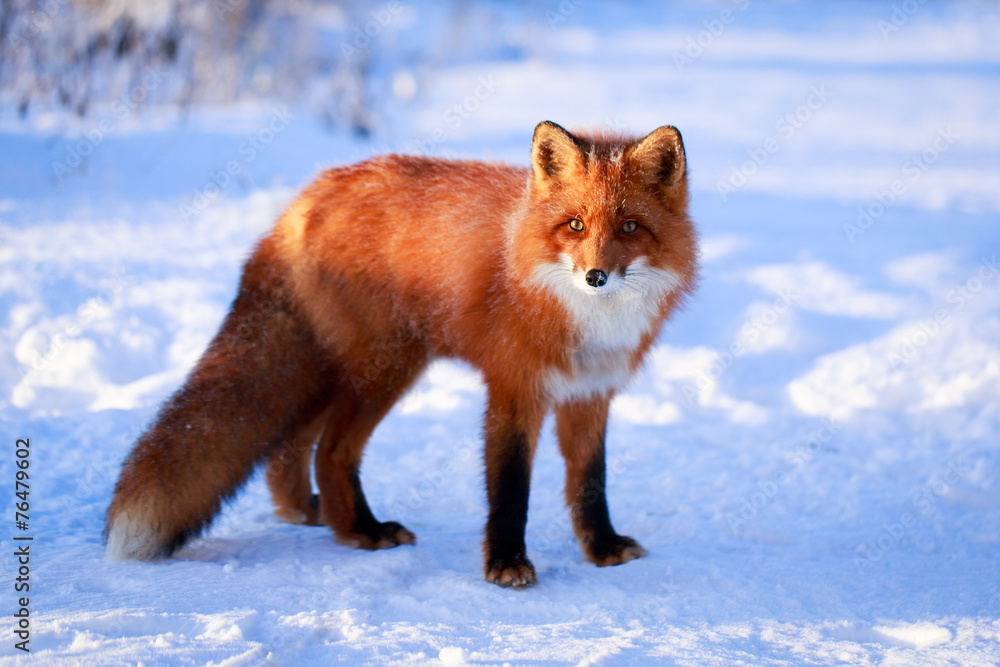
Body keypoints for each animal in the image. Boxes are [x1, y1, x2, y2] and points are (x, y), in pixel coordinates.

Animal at [104, 120, 698, 588]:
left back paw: (310, 514)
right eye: (575, 225)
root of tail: (307, 198)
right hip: (381, 369)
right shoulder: (513, 390)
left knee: (290, 445)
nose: (596, 276)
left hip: (335, 371)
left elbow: (590, 484)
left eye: (629, 227)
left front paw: (602, 549)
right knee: (329, 450)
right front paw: (506, 564)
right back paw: (362, 531)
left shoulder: (589, 392)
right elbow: (510, 488)